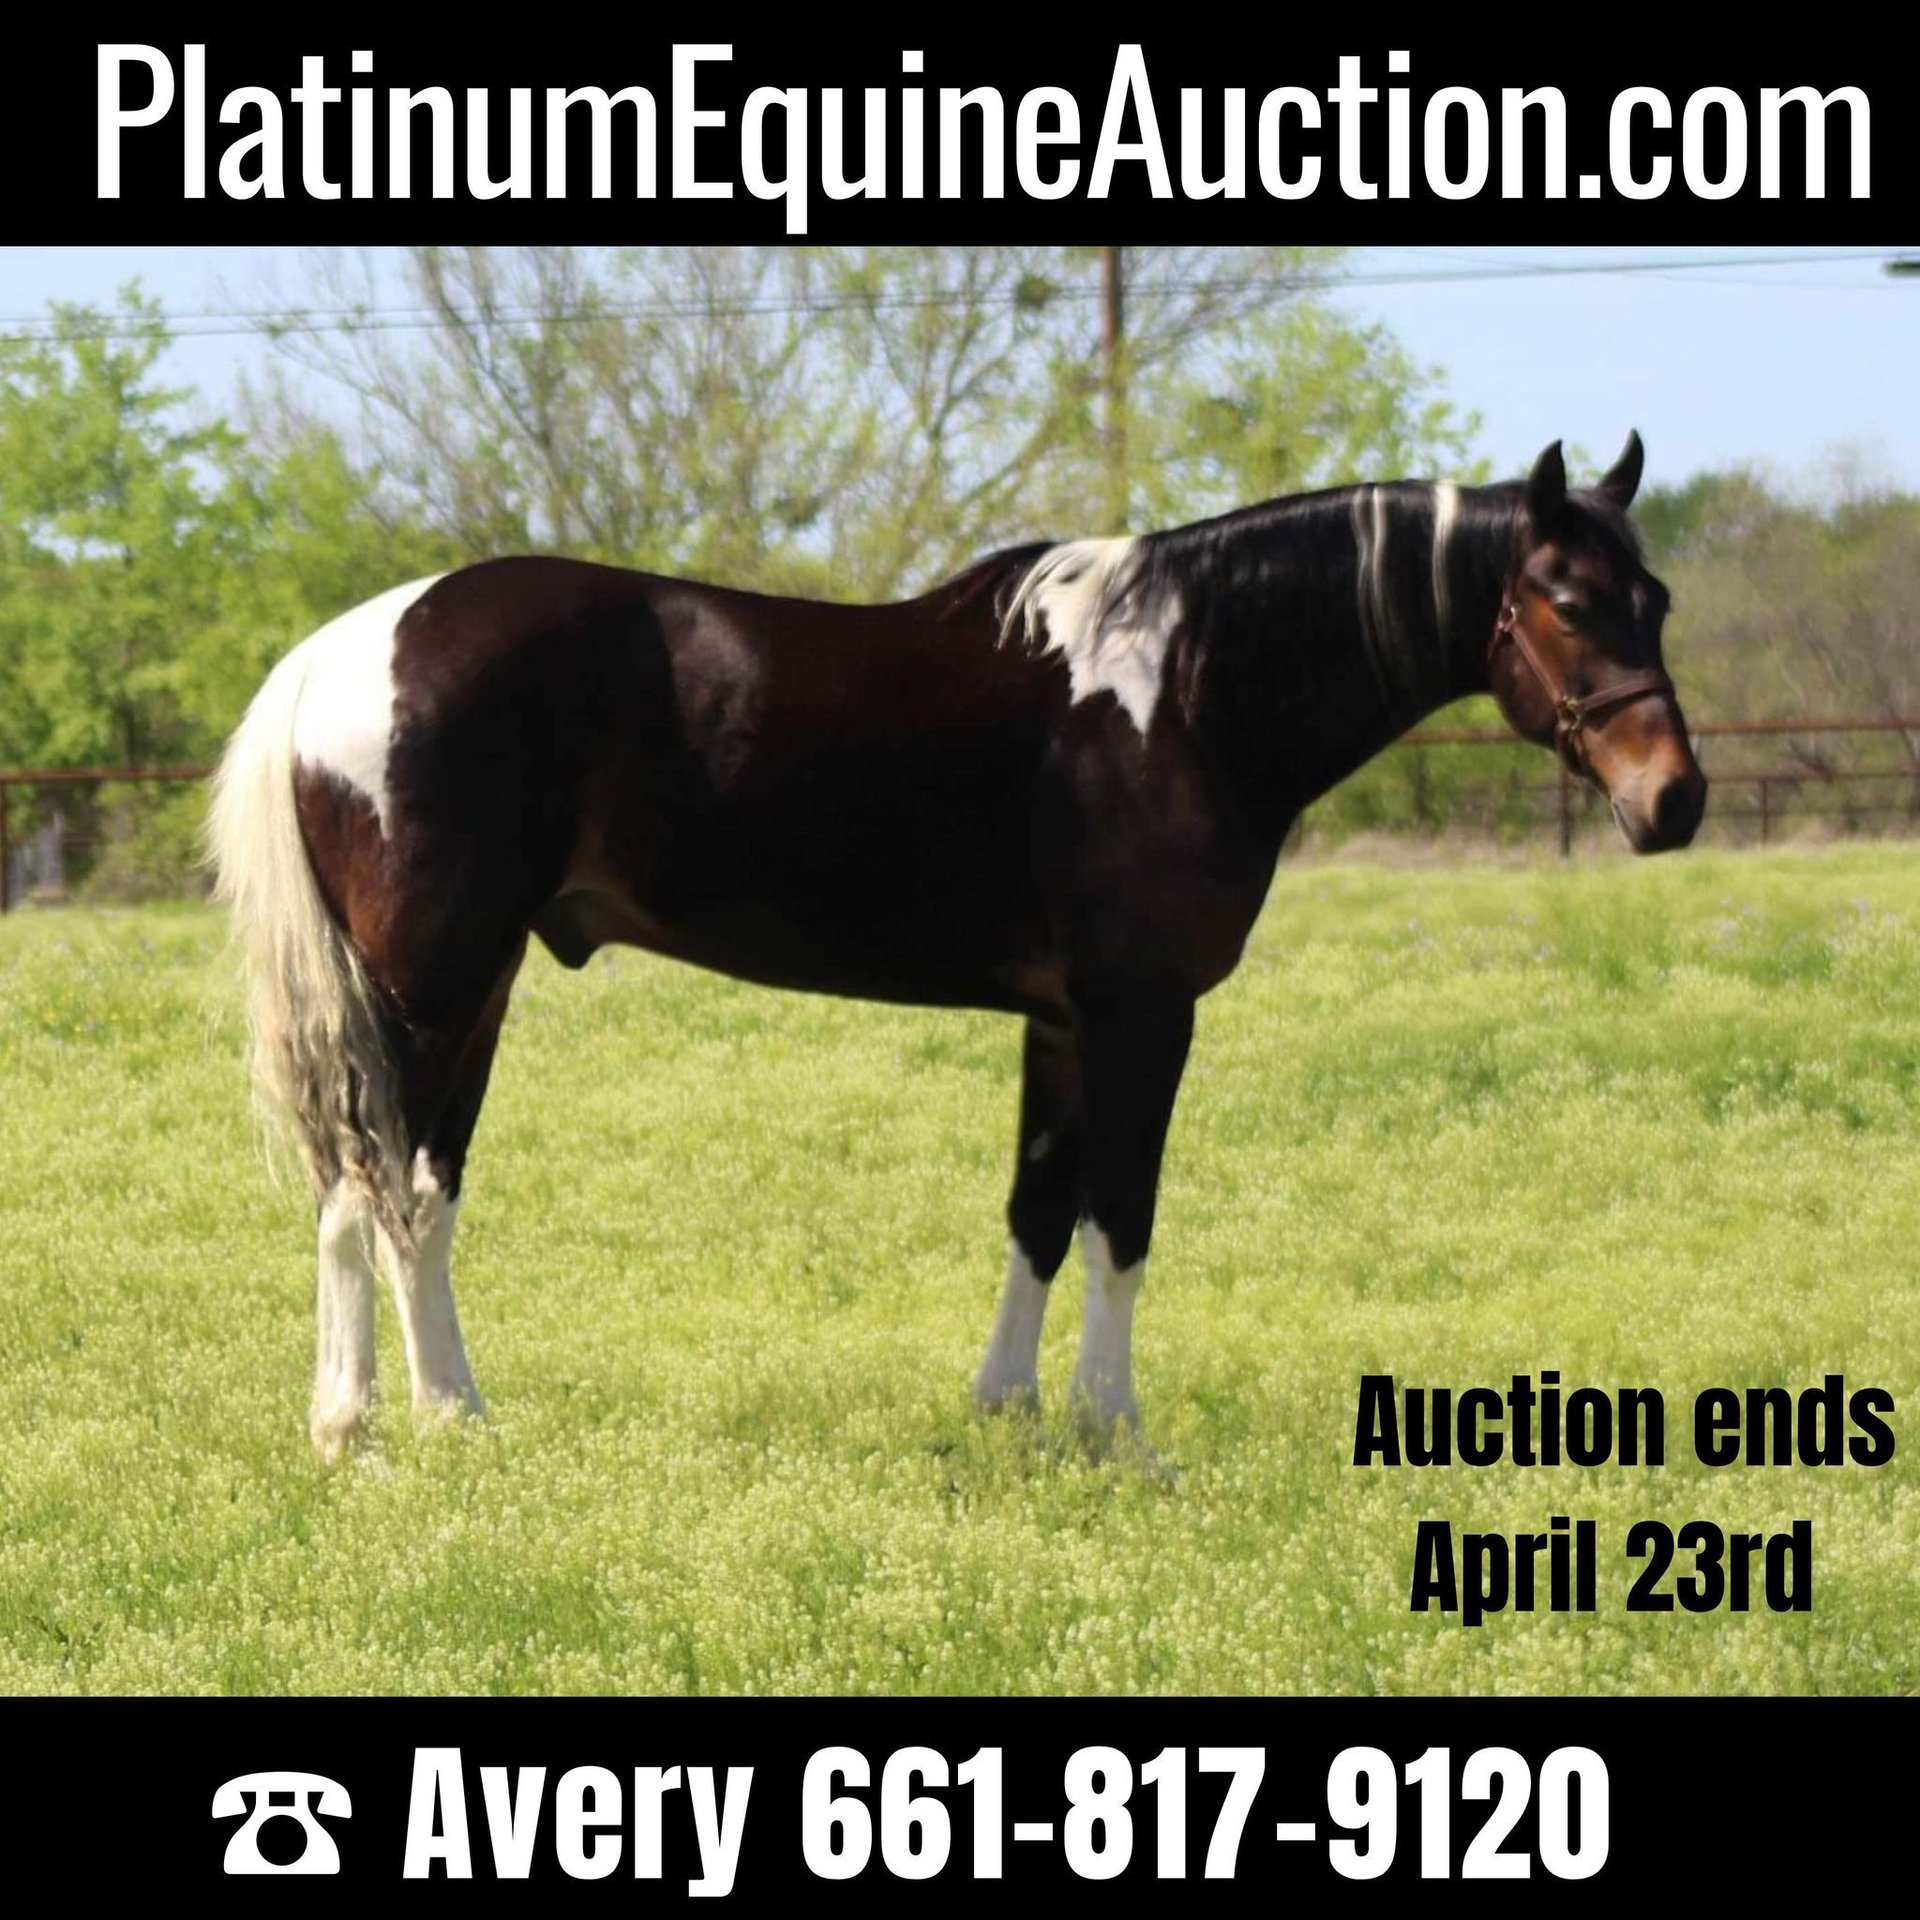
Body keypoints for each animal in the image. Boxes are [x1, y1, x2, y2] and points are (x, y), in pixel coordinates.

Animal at [209, 432, 1706, 1463]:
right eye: (1566, 599)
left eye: (1659, 596)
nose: (1673, 800)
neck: (1189, 688)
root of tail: (341, 653)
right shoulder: (1142, 1012)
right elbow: (1121, 1219)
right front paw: (1119, 1436)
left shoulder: (1062, 1022)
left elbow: (1039, 1211)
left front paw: (1010, 1412)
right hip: (429, 987)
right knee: (378, 1191)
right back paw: (389, 1428)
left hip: (463, 993)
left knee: (405, 1190)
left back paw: (415, 1418)